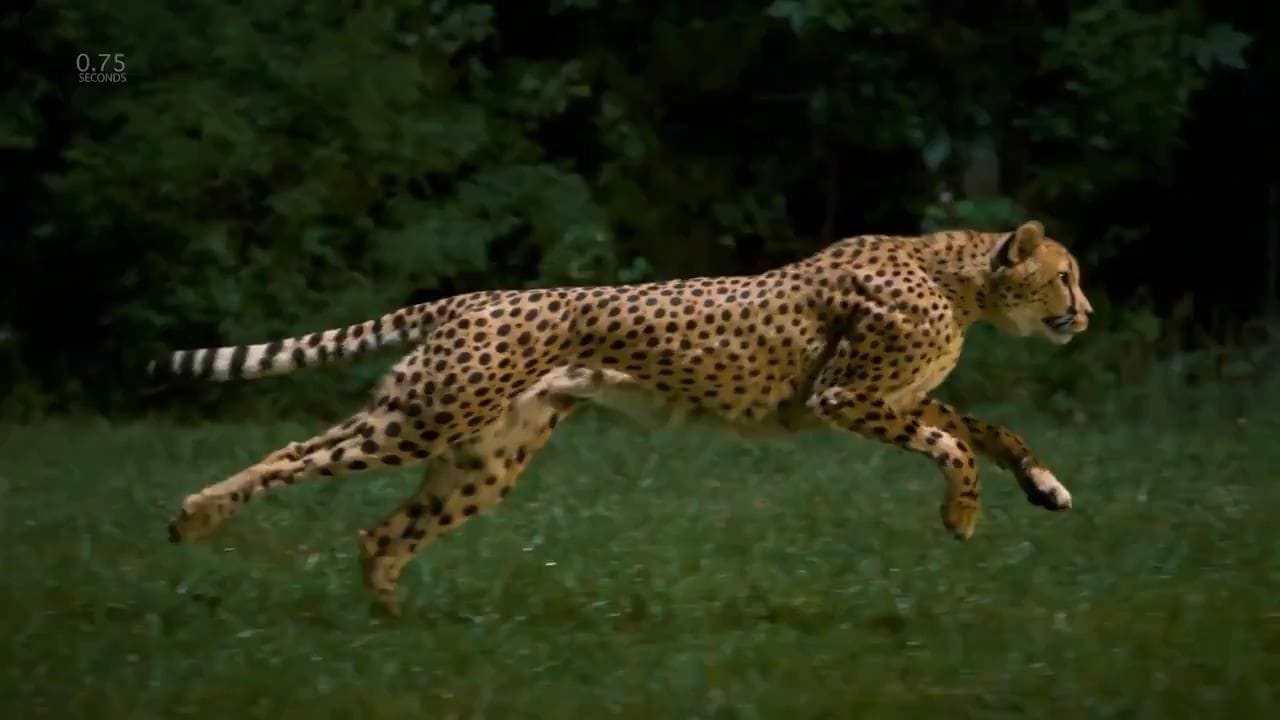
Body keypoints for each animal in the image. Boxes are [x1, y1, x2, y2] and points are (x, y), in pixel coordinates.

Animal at [152, 219, 1092, 615]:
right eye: (1065, 275)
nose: (1086, 312)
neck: (956, 276)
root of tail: (471, 297)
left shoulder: (889, 398)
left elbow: (987, 430)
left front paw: (1043, 485)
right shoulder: (842, 399)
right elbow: (951, 444)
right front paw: (962, 512)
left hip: (480, 461)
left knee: (380, 532)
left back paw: (392, 624)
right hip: (423, 416)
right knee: (295, 451)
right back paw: (196, 514)